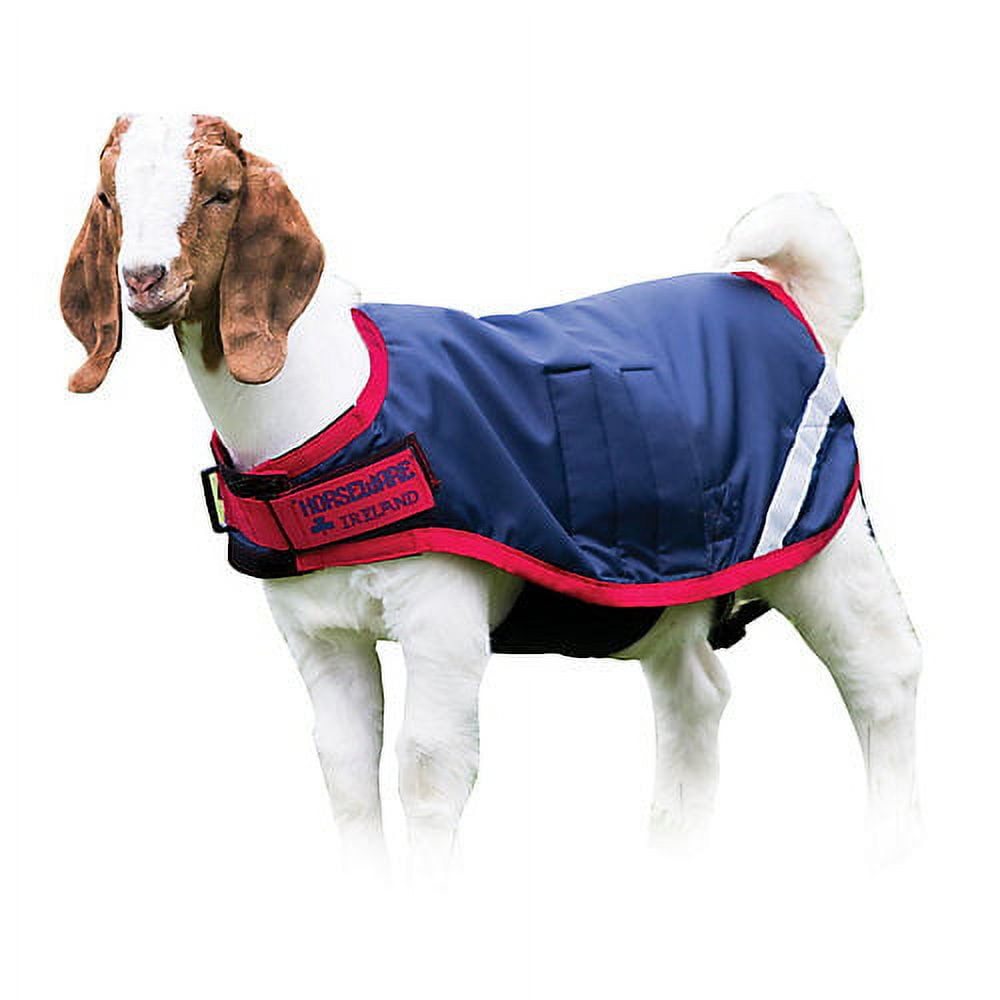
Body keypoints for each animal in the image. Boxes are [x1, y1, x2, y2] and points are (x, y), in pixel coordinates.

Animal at [61, 114, 922, 869]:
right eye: (109, 197)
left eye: (221, 193)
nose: (145, 279)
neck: (327, 400)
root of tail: (783, 298)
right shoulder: (316, 629)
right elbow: (345, 771)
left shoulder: (442, 611)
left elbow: (427, 770)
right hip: (665, 579)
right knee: (696, 692)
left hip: (822, 535)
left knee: (882, 675)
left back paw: (885, 851)